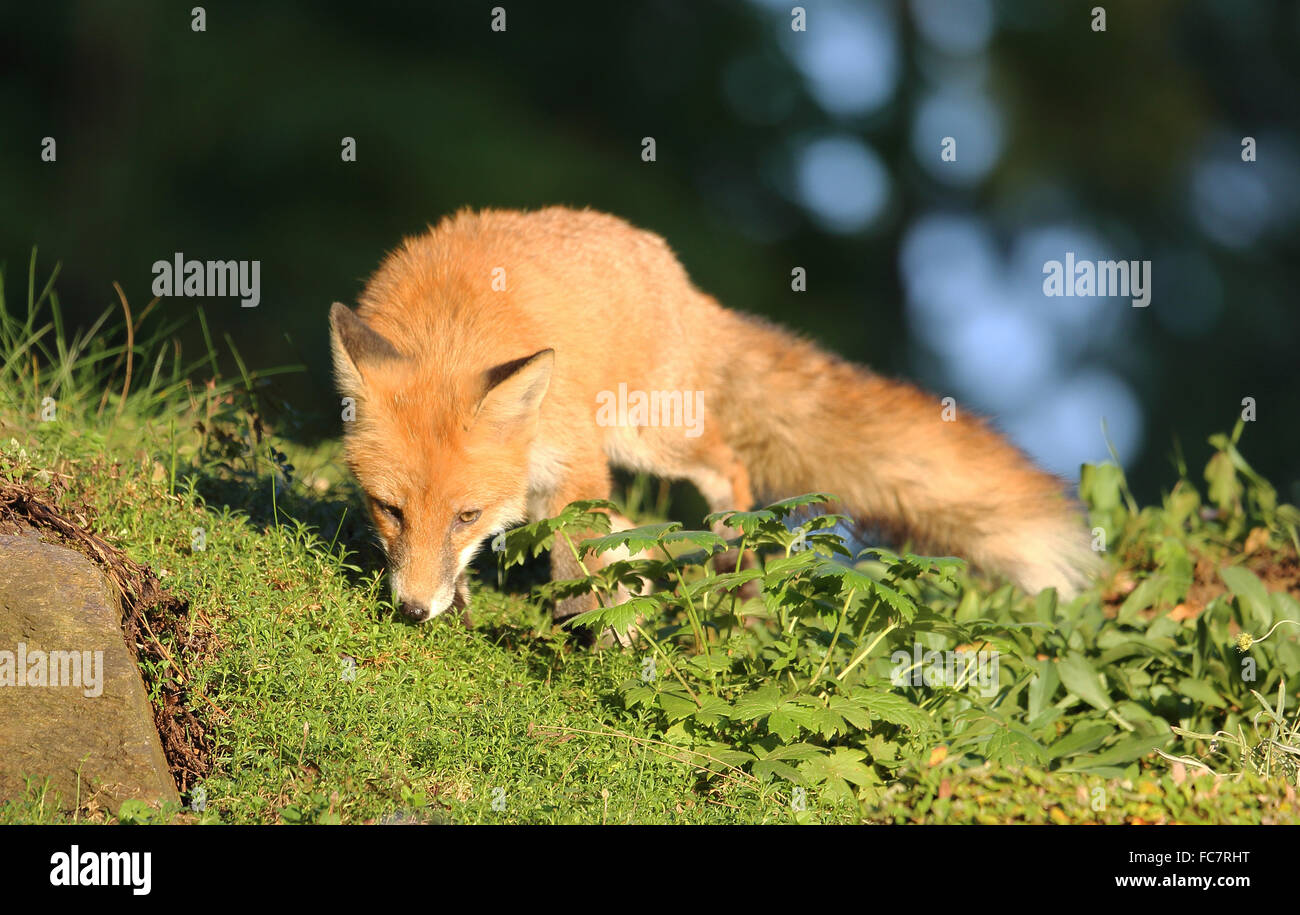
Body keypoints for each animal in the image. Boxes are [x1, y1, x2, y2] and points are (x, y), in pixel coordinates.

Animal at [329, 206, 1099, 624]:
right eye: (389, 510)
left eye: (466, 514)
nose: (412, 610)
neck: (452, 328)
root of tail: (684, 282)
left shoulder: (572, 456)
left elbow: (580, 550)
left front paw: (607, 625)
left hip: (648, 432)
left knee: (728, 465)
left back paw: (736, 564)